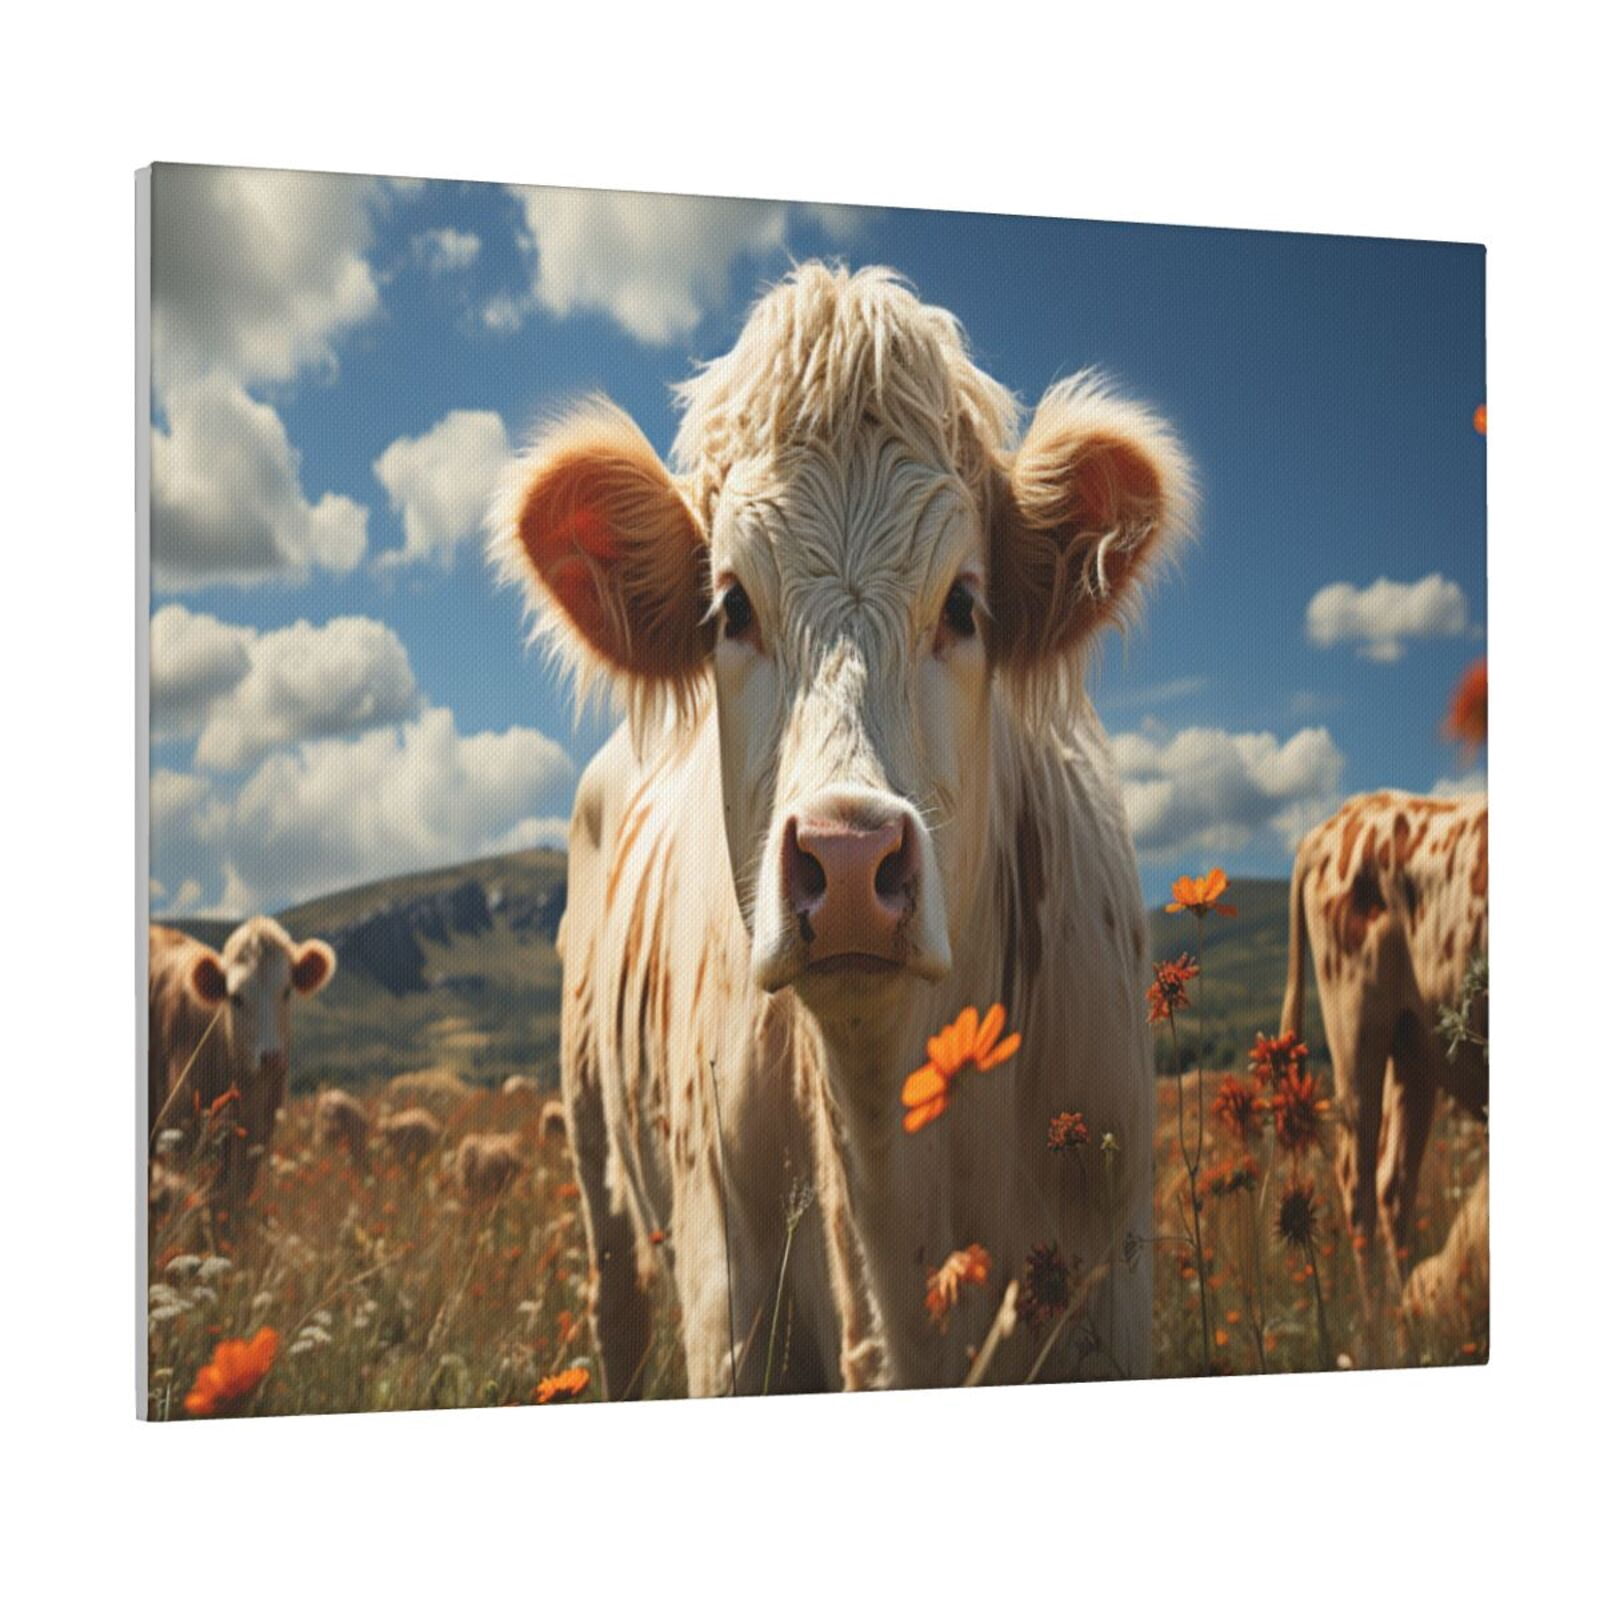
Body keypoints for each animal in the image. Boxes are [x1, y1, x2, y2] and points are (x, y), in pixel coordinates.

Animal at [494, 263, 1194, 1396]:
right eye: (731, 608)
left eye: (964, 604)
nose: (851, 857)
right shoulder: (728, 1300)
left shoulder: (1112, 1286)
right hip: (597, 1163)